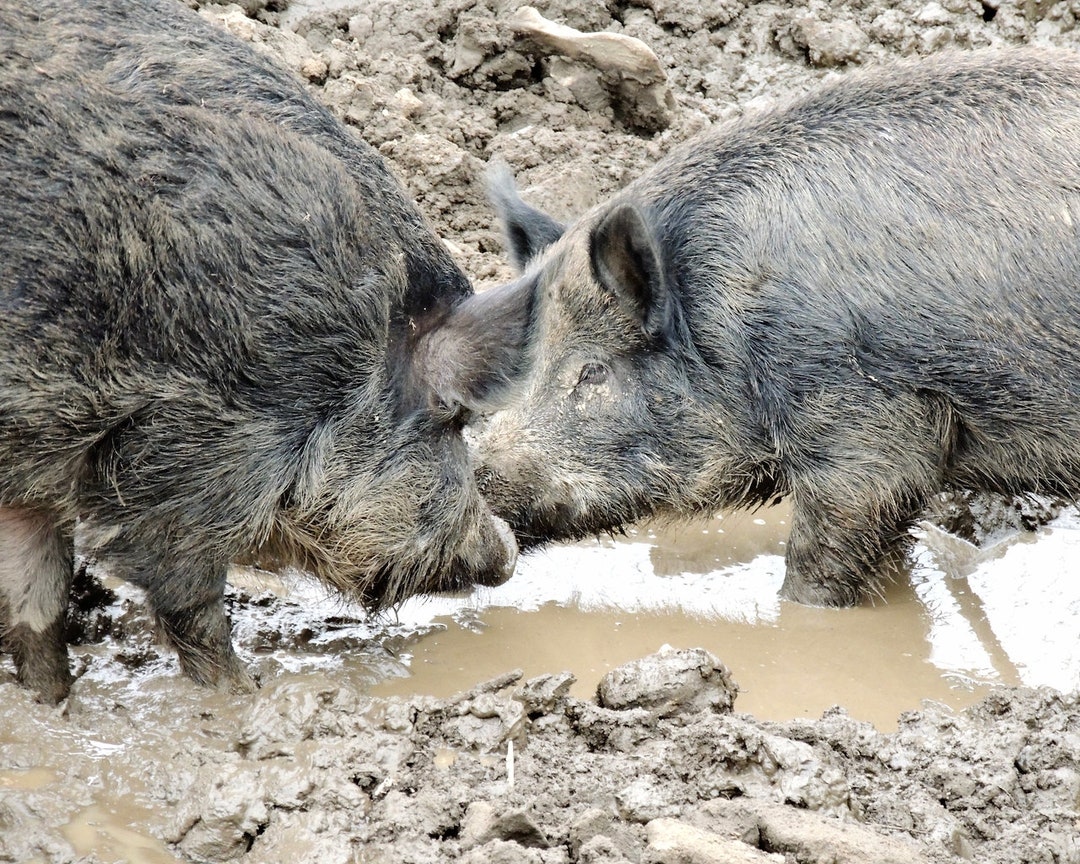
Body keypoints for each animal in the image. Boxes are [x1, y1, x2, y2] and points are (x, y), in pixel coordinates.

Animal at [0, 0, 516, 704]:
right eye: (451, 416)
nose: (508, 551)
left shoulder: (36, 481)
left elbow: (35, 600)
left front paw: (52, 709)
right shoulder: (193, 452)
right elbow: (188, 600)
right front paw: (241, 697)